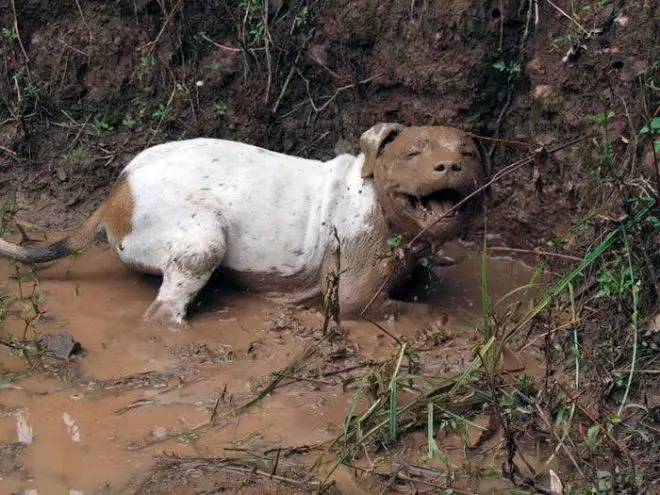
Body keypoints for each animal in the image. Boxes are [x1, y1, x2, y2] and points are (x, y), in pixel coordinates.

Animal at [0, 125, 490, 330]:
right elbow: (398, 309)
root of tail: (116, 192)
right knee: (164, 309)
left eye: (469, 154)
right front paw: (442, 320)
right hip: (203, 240)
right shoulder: (354, 298)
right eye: (413, 153)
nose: (449, 166)